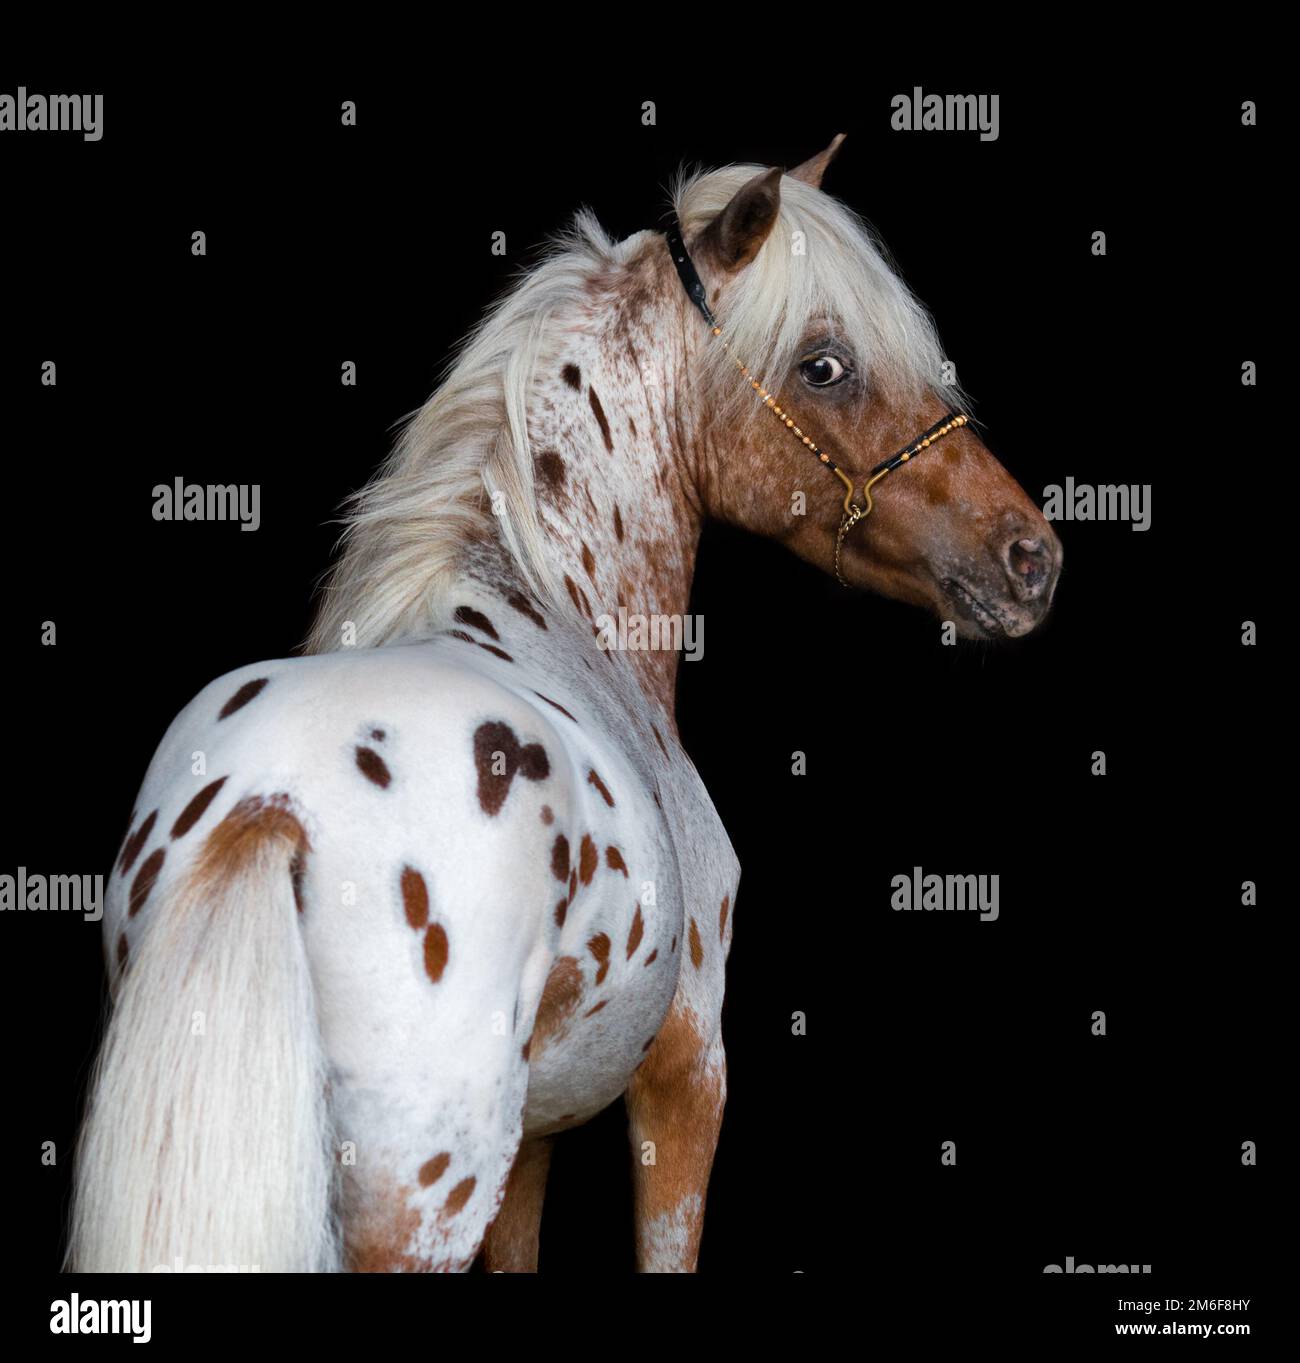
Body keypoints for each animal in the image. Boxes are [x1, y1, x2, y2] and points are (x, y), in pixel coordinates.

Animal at [67, 135, 1062, 1274]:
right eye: (824, 364)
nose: (1031, 557)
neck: (550, 608)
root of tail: (269, 805)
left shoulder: (534, 1139)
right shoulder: (688, 1075)